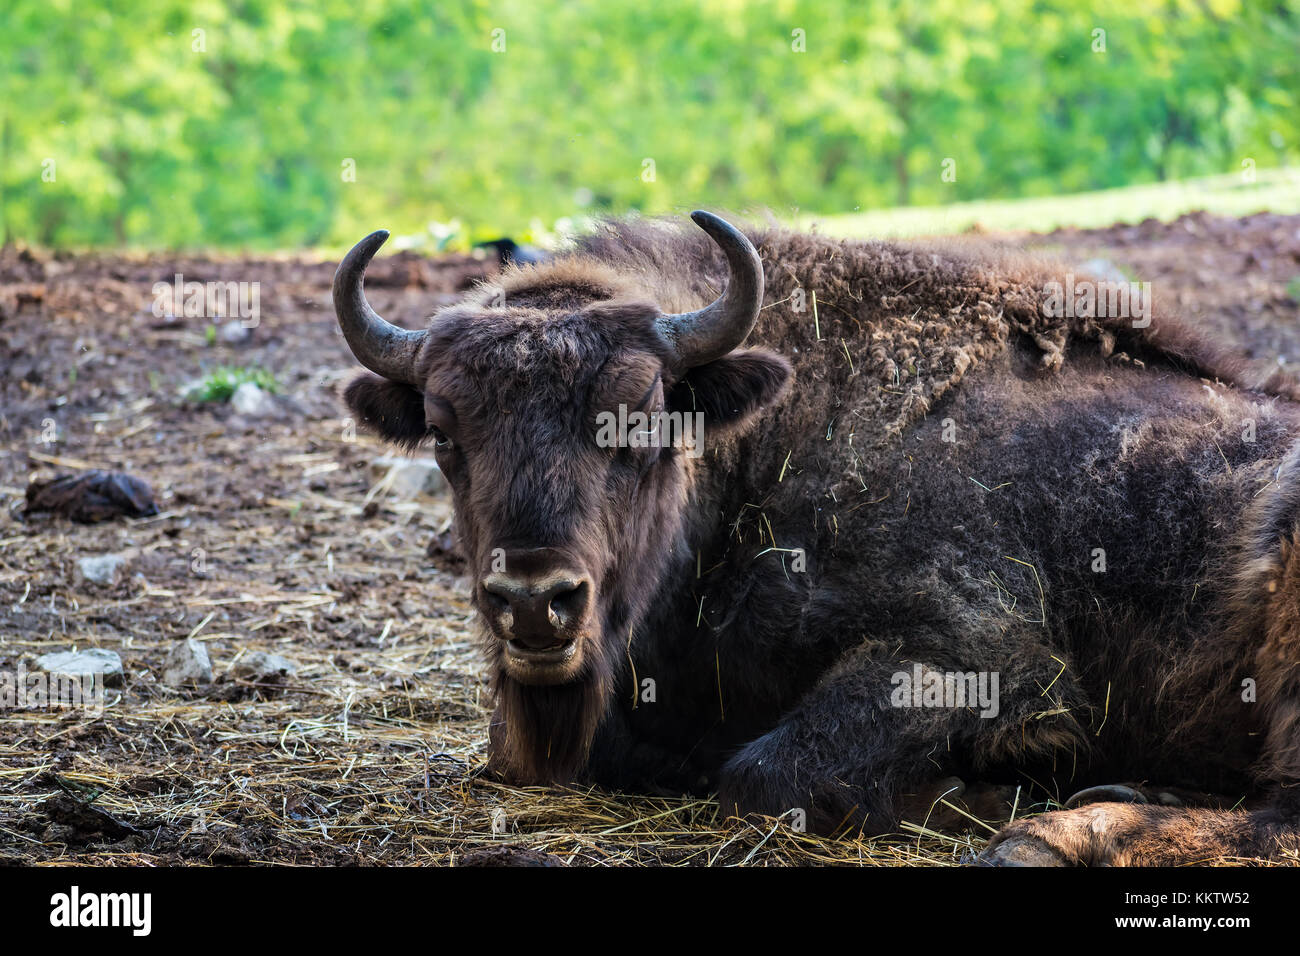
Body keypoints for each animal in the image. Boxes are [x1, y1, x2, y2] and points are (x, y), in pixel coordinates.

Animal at [335, 211, 1300, 865]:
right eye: (443, 433)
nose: (536, 604)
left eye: (639, 417)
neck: (764, 448)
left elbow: (766, 773)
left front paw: (985, 790)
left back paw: (1050, 834)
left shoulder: (978, 656)